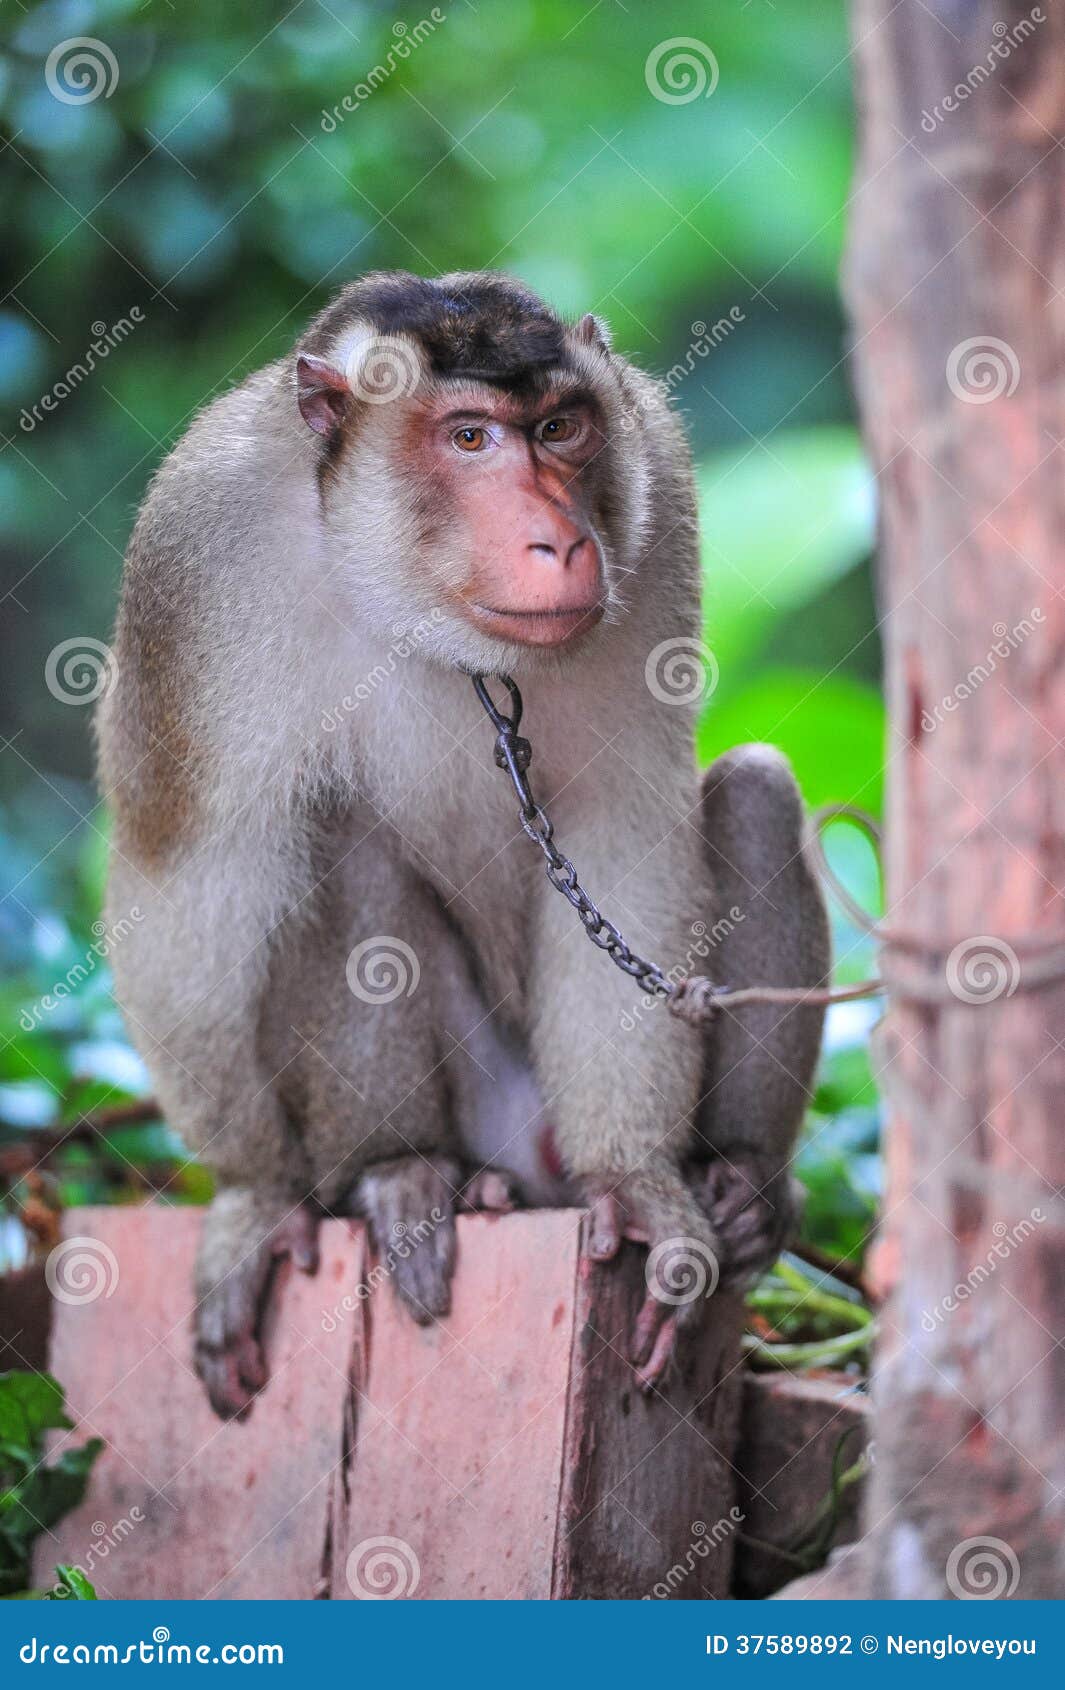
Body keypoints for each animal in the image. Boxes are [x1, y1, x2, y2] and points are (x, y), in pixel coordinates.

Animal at [96, 271, 829, 1417]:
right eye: (471, 436)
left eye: (562, 428)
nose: (561, 542)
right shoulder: (197, 548)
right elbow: (181, 875)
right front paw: (256, 1196)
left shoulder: (656, 488)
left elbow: (625, 824)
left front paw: (638, 1182)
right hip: (481, 1100)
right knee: (336, 841)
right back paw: (408, 1172)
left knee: (755, 786)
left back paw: (741, 1182)